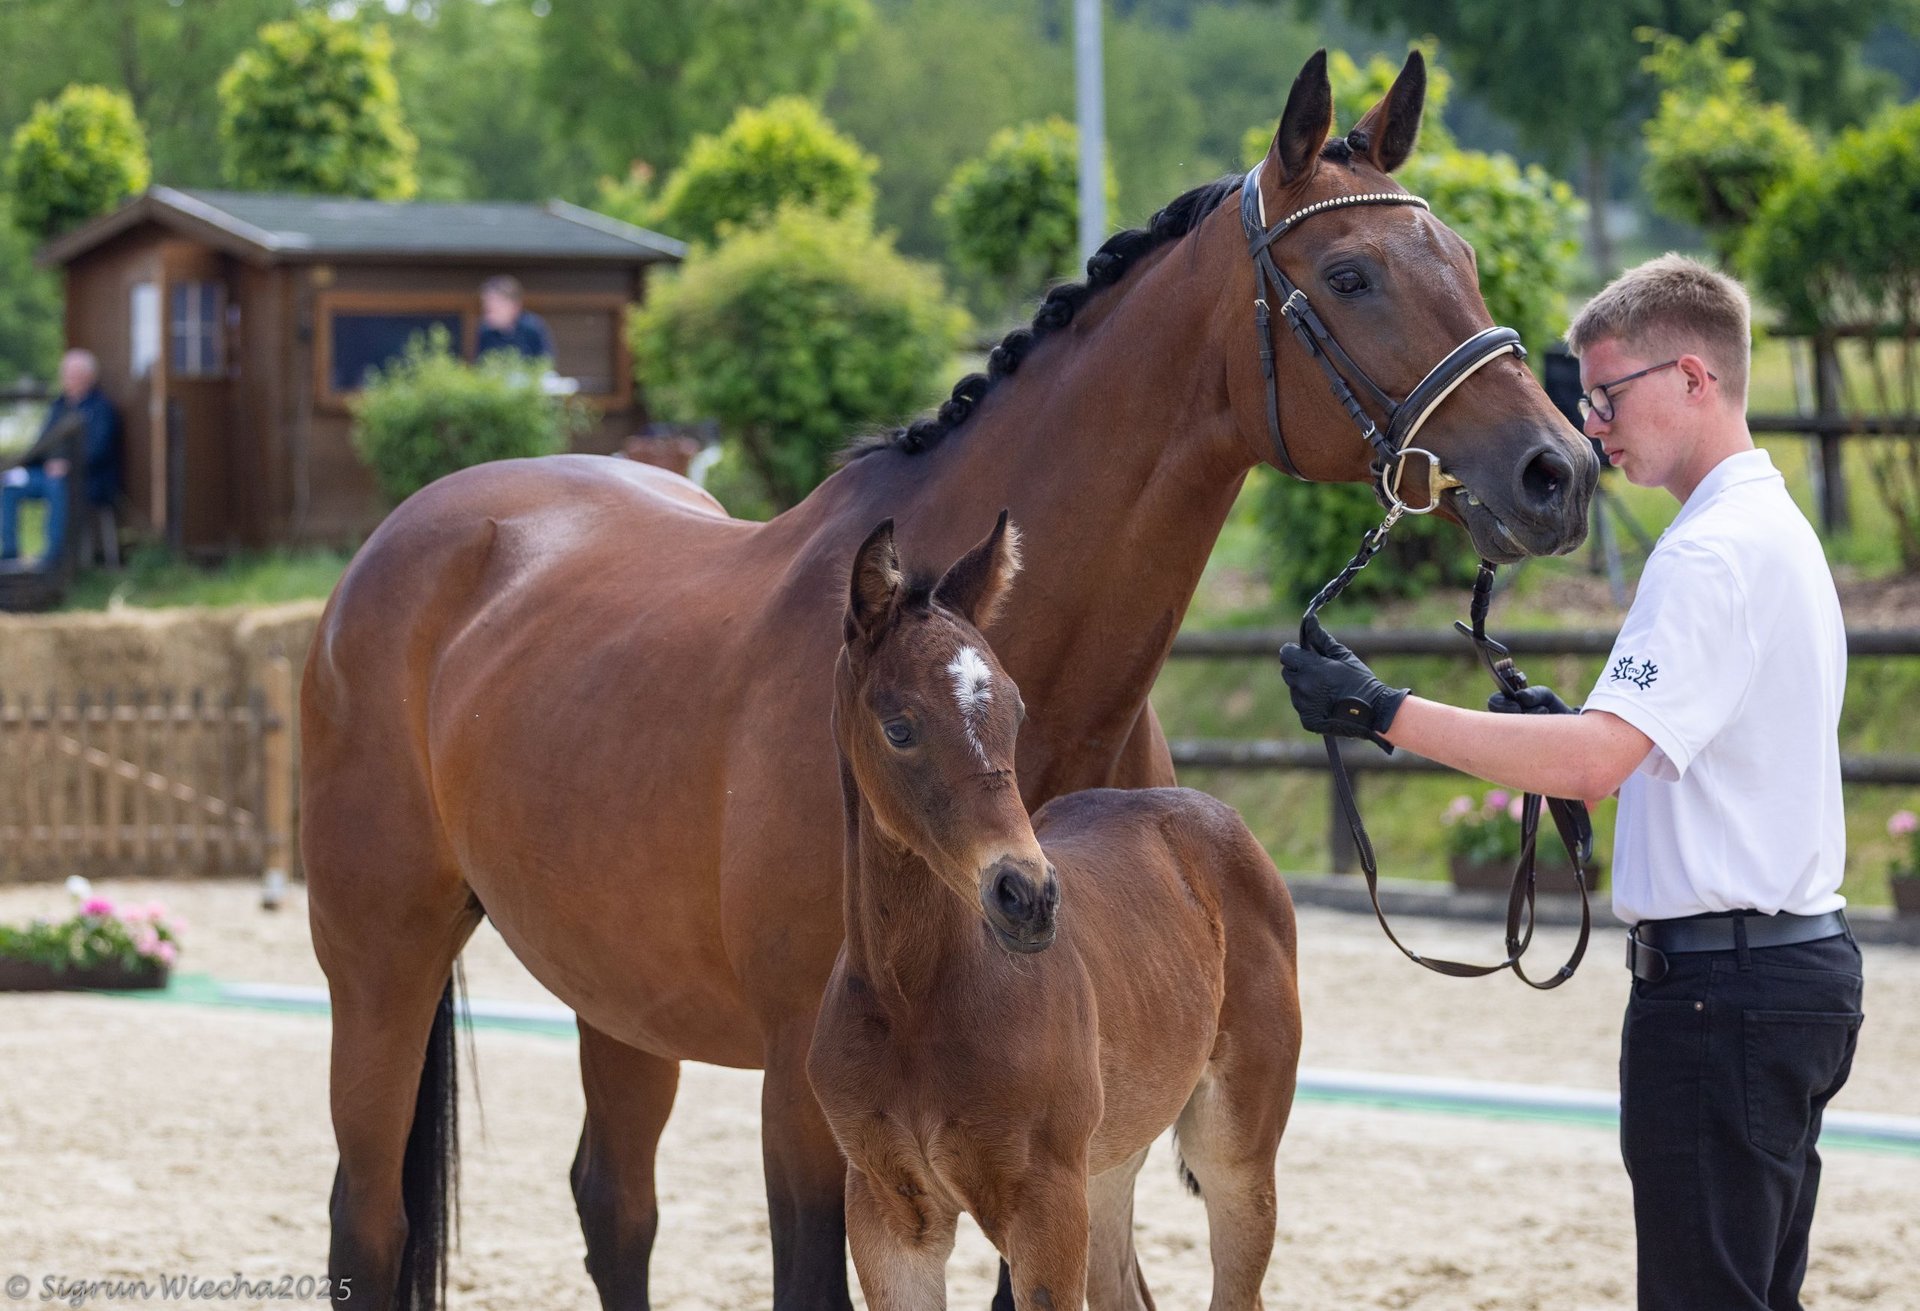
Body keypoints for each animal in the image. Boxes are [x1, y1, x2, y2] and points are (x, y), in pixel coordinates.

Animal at [808, 514, 1300, 1311]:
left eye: (1015, 710)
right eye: (899, 727)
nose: (1029, 896)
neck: (912, 1000)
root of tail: (1217, 816)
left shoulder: (1044, 1205)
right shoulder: (887, 1211)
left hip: (1235, 1152)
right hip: (1107, 1165)